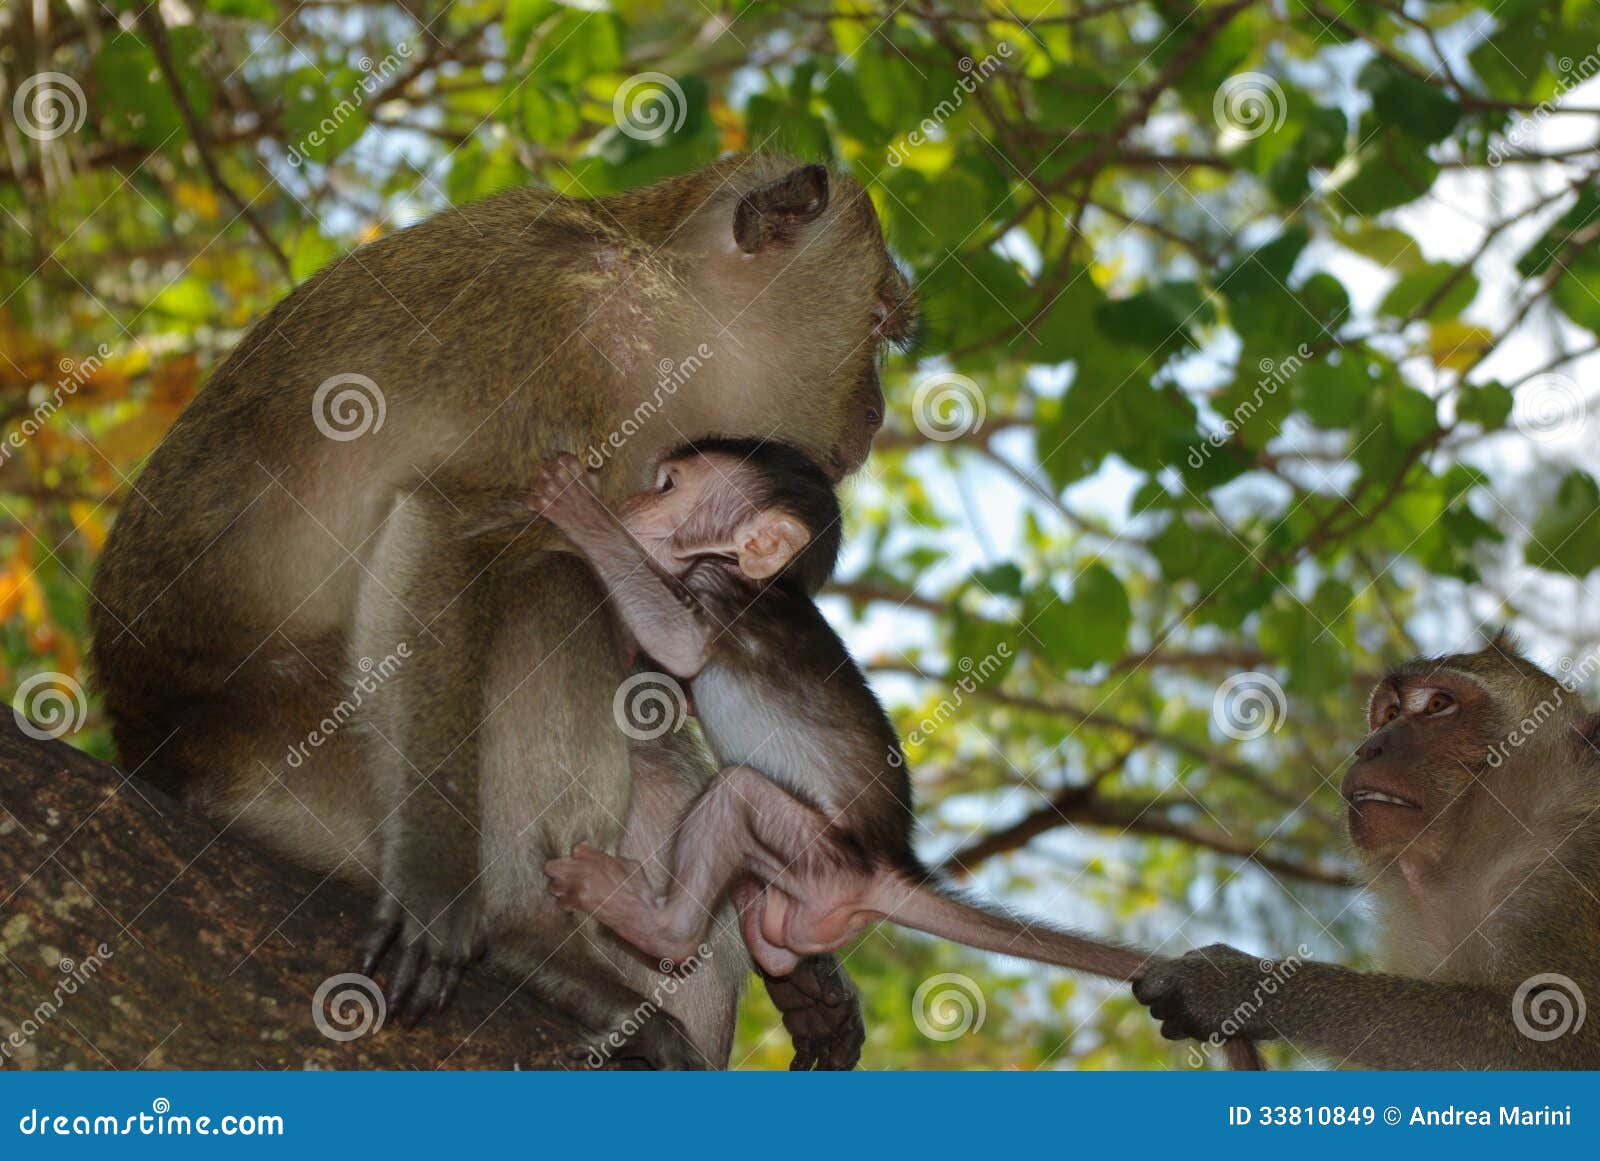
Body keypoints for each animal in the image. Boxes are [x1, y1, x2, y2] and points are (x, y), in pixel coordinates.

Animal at [87, 155, 914, 1068]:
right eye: (878, 328)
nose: (875, 414)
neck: (671, 301)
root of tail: (149, 740)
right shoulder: (566, 340)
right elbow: (447, 525)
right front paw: (436, 884)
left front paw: (808, 975)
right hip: (300, 770)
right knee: (548, 588)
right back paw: (531, 936)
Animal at [526, 438, 1264, 1069]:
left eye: (668, 486)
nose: (627, 505)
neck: (759, 578)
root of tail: (890, 863)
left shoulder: (721, 588)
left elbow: (682, 645)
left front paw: (579, 511)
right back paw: (773, 947)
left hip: (823, 860)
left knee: (738, 794)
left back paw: (660, 926)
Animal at [1134, 638, 1600, 1069]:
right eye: (1390, 713)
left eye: (1439, 705)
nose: (1369, 747)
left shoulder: (1563, 888)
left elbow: (1550, 1044)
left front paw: (1238, 985)